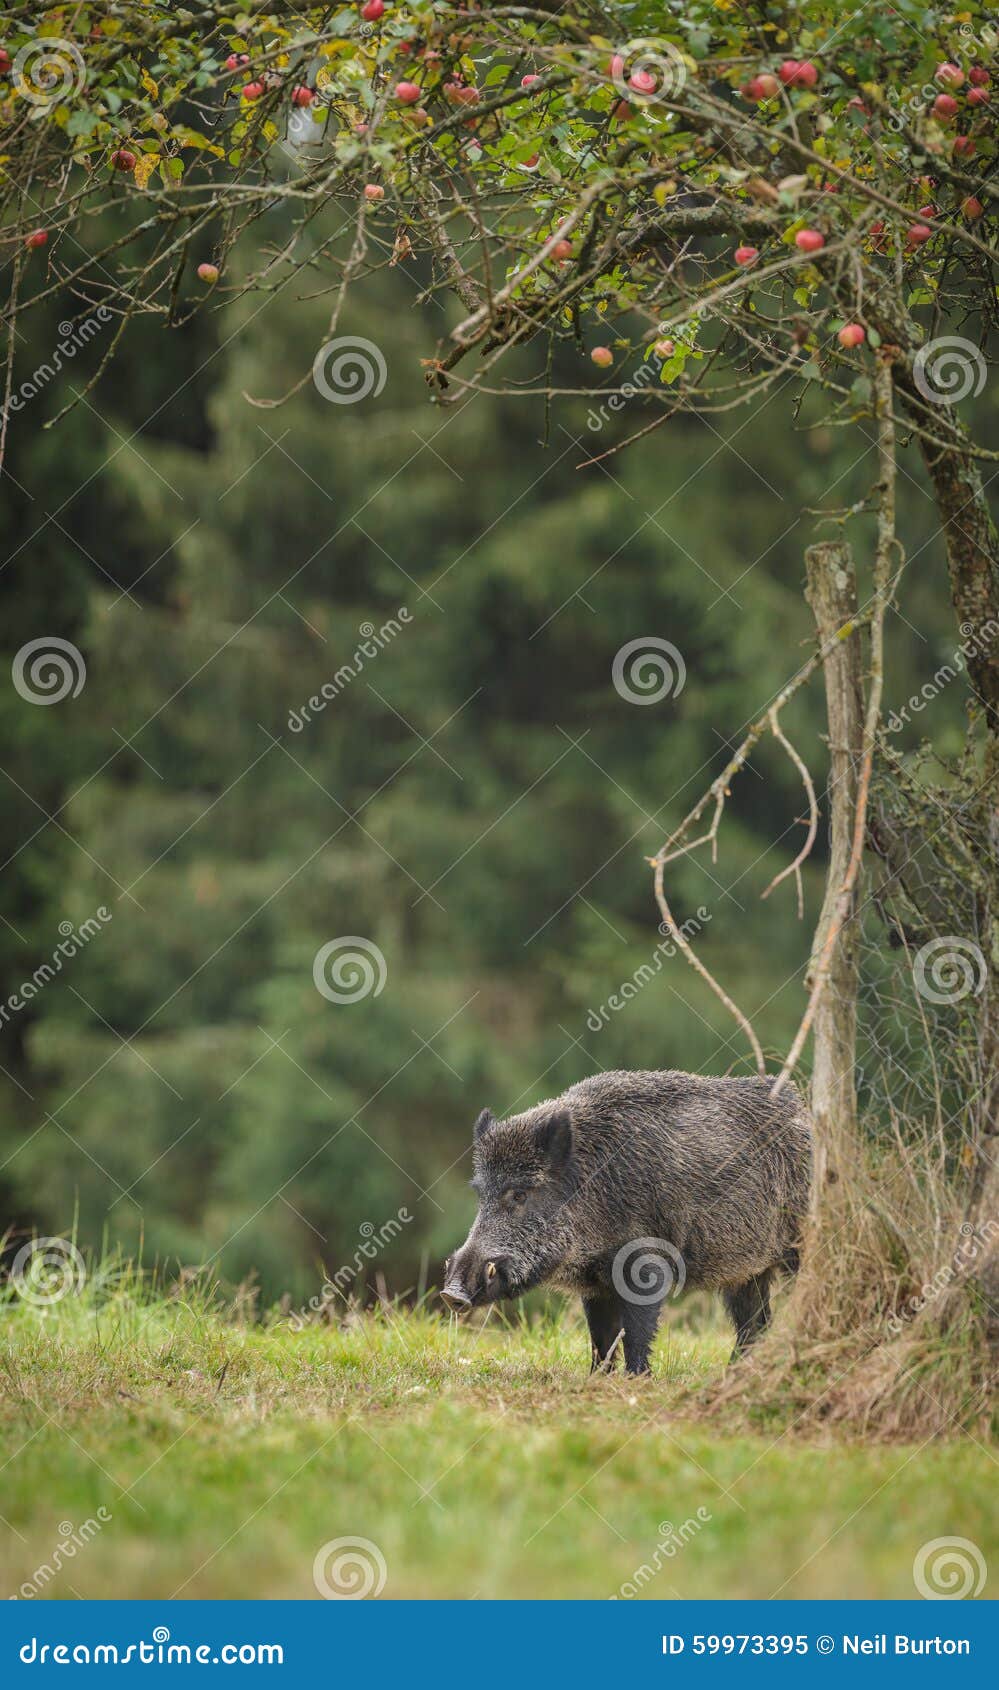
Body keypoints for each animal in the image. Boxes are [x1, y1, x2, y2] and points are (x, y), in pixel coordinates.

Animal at [441, 1069, 811, 1374]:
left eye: (519, 1195)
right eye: (480, 1193)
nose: (451, 1294)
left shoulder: (645, 1264)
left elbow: (636, 1330)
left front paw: (637, 1378)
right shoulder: (594, 1282)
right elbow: (600, 1336)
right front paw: (597, 1378)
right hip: (745, 1269)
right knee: (755, 1323)